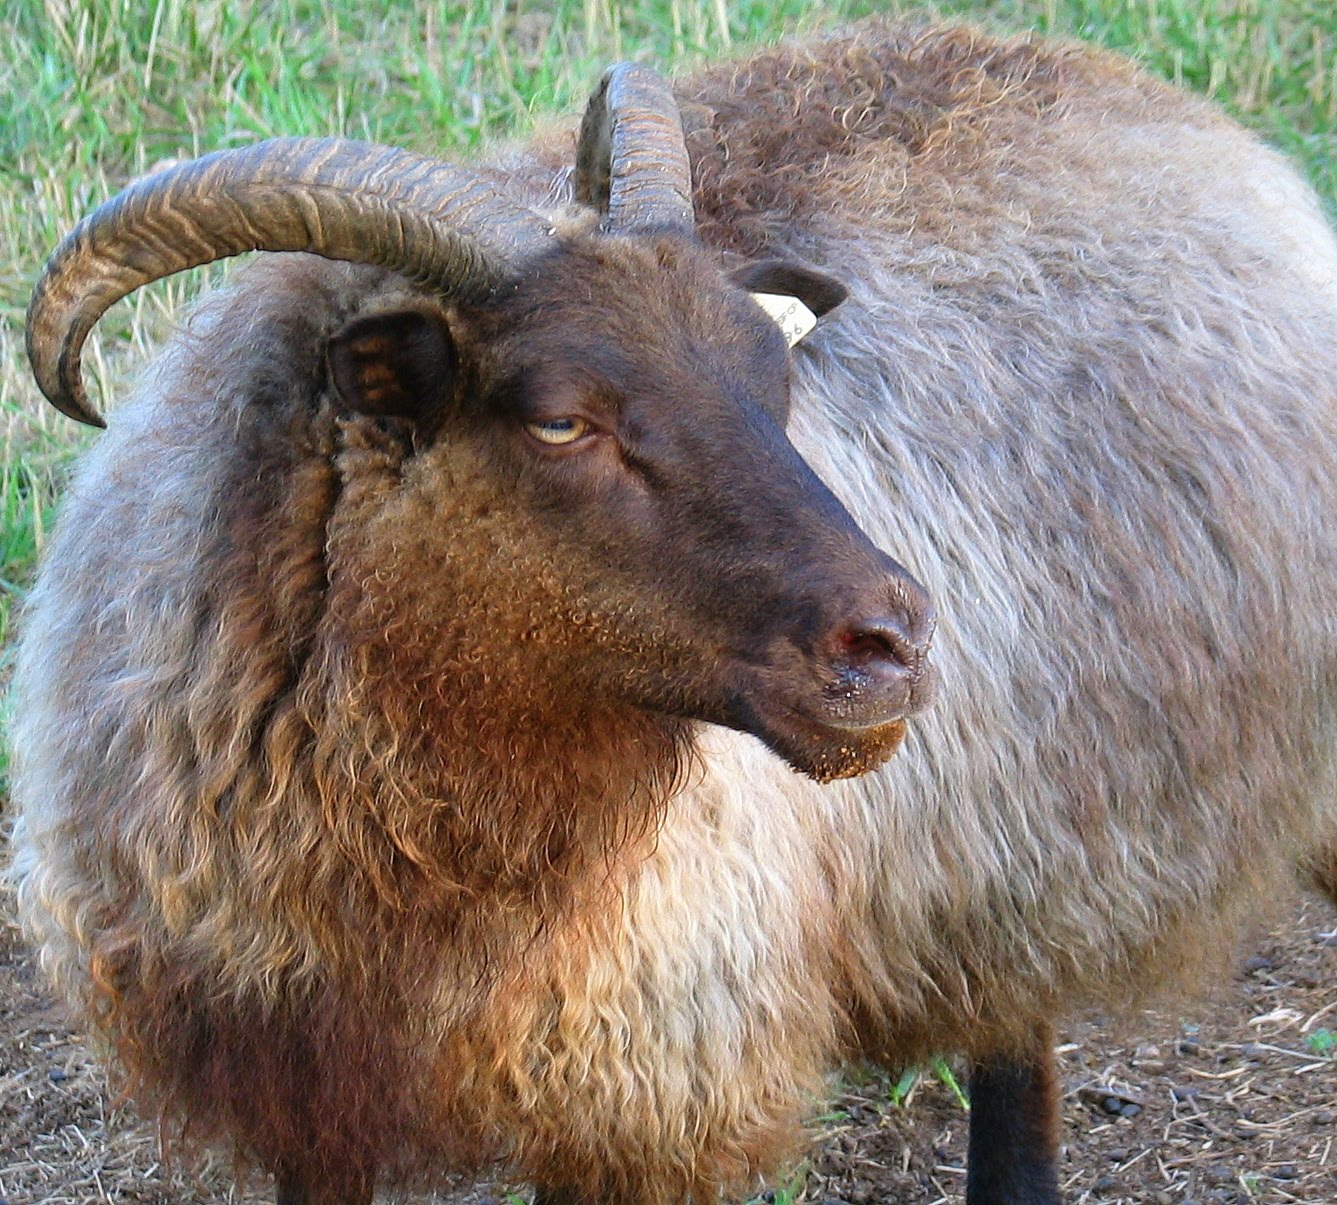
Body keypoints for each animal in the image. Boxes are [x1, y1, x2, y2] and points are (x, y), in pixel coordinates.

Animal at [10, 14, 1337, 1205]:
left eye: (774, 371)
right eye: (559, 419)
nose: (892, 647)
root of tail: (1129, 83)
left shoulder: (639, 1081)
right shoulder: (303, 1088)